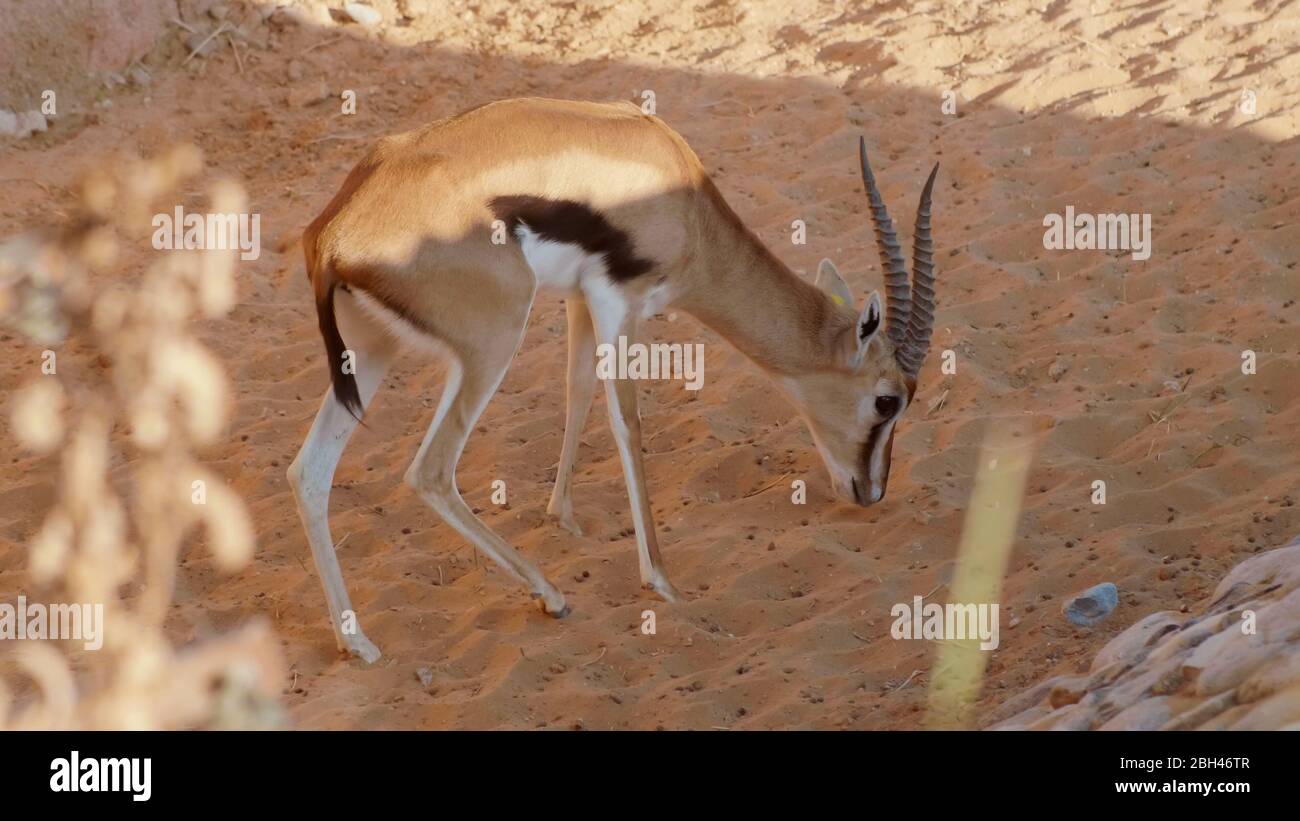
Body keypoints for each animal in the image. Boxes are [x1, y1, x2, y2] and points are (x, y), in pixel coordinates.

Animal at [288, 98, 939, 662]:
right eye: (887, 401)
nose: (871, 492)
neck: (686, 205)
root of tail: (335, 233)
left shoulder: (580, 299)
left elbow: (577, 391)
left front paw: (565, 517)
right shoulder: (619, 303)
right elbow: (628, 423)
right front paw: (663, 582)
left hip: (373, 350)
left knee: (308, 472)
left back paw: (359, 642)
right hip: (493, 340)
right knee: (431, 470)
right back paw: (551, 596)